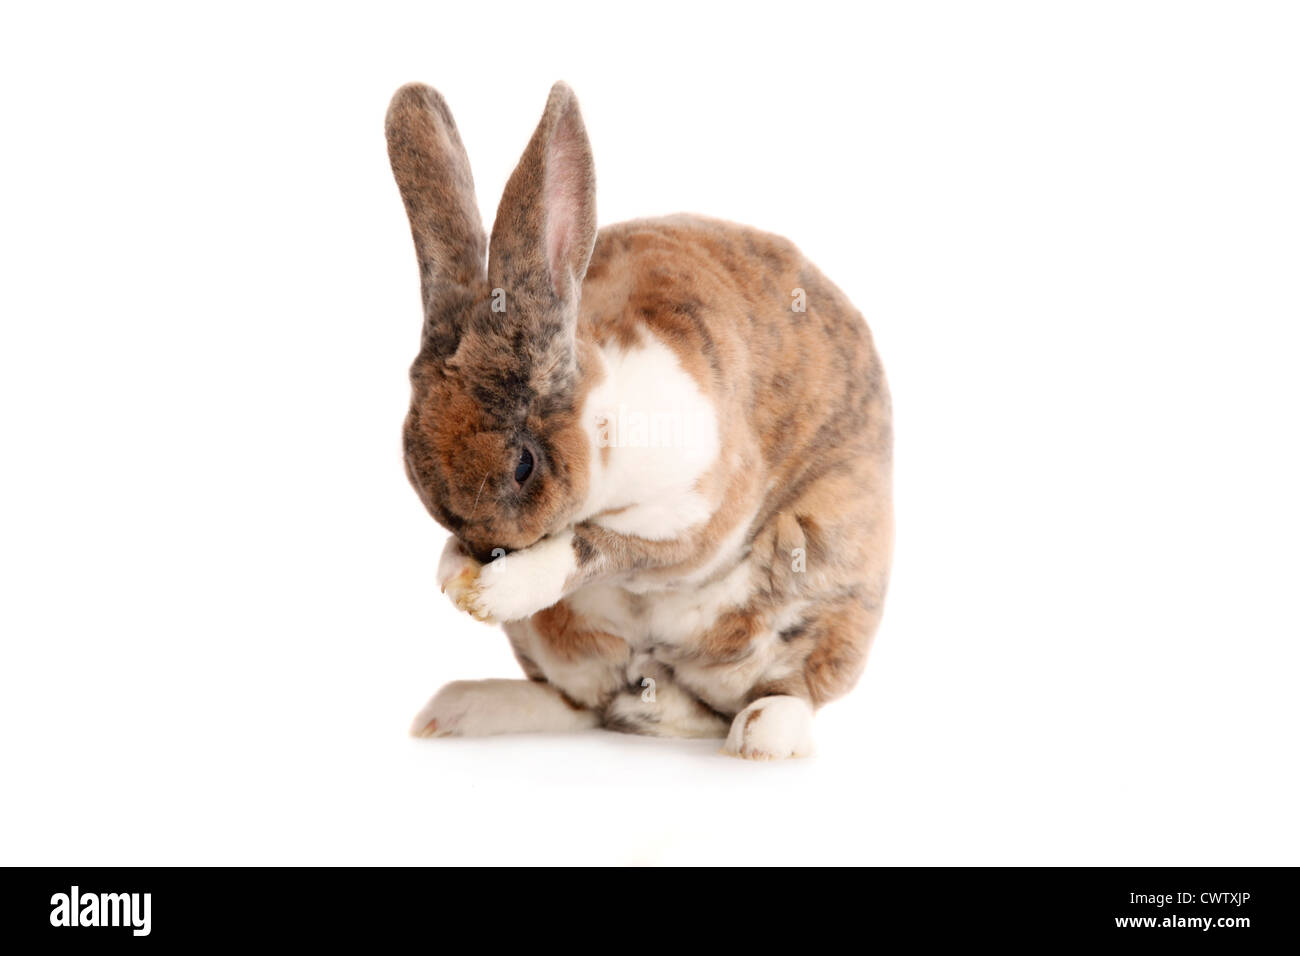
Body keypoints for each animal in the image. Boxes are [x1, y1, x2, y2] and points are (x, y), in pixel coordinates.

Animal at [387, 81, 892, 759]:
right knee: (583, 706)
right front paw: (453, 576)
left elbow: (590, 548)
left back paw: (761, 737)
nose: (489, 550)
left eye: (523, 465)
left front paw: (498, 588)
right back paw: (457, 708)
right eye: (413, 464)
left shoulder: (689, 519)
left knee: (788, 690)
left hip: (823, 581)